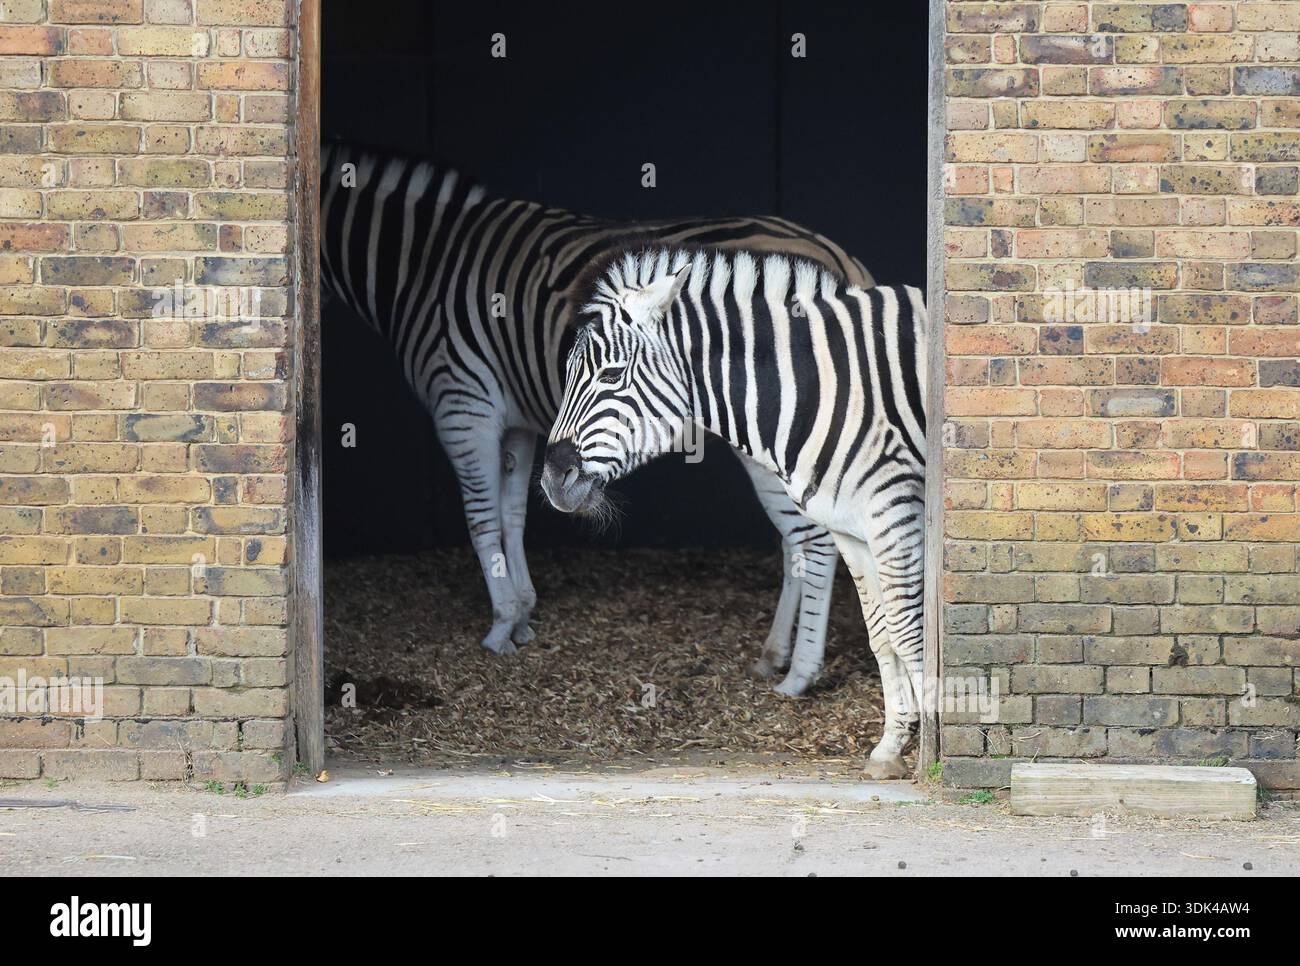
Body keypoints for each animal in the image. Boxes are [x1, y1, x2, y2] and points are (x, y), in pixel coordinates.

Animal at [319, 140, 872, 694]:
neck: (419, 259)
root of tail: (838, 255)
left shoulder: (462, 403)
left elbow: (480, 517)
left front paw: (500, 625)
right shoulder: (516, 423)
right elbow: (512, 514)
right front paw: (523, 613)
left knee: (811, 538)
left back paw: (797, 669)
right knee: (799, 540)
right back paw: (774, 653)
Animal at [541, 248, 927, 778]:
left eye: (612, 376)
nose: (552, 479)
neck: (817, 384)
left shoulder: (894, 510)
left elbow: (910, 631)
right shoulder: (853, 527)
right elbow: (883, 634)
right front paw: (892, 745)